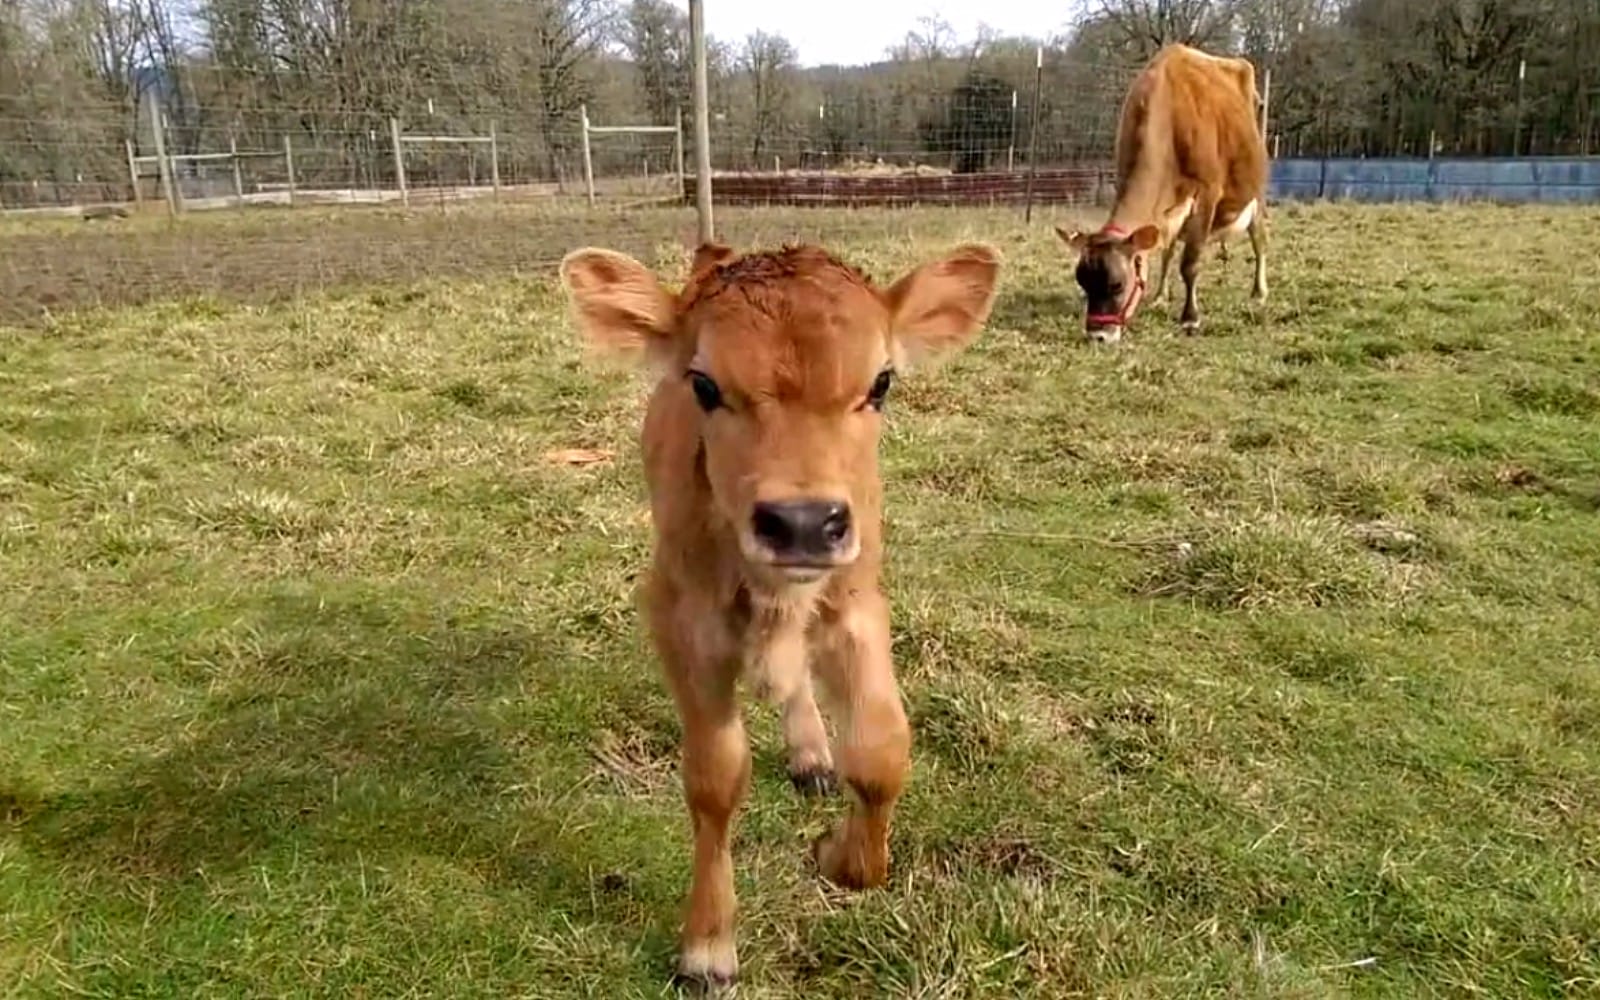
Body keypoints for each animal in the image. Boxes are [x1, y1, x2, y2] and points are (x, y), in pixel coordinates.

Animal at [558, 239, 1002, 987]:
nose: (801, 523)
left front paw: (841, 858)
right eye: (704, 385)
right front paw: (708, 946)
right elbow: (715, 777)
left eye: (882, 383)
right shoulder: (681, 618)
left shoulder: (856, 602)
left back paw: (812, 754)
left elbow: (882, 752)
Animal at [1058, 43, 1269, 343]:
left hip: (1256, 193)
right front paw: (1160, 297)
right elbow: (1166, 253)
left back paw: (1259, 292)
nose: (1097, 336)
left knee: (1259, 238)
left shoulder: (1206, 194)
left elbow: (1189, 263)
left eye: (1117, 284)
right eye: (1082, 282)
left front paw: (1190, 318)